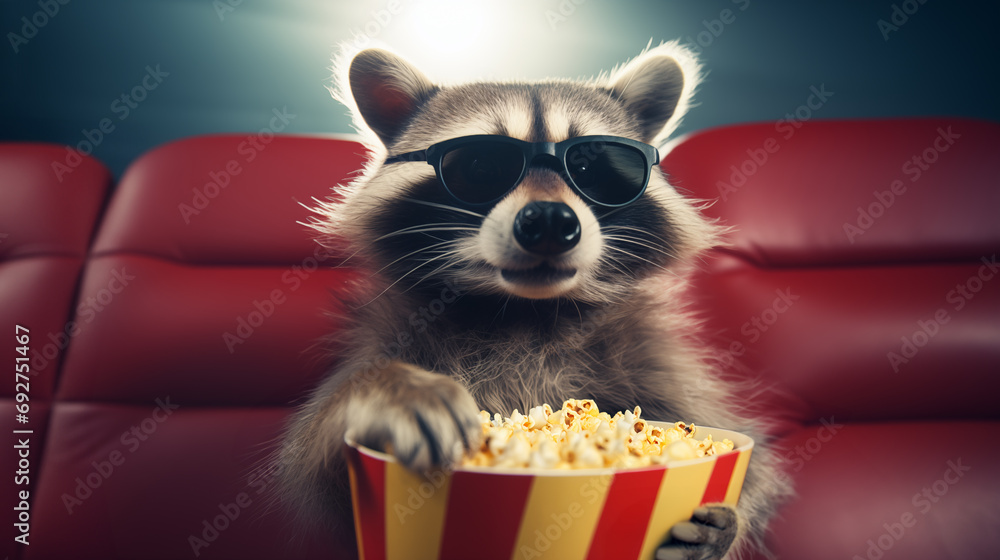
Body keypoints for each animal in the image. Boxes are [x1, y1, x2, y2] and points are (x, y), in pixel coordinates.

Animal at [278, 42, 792, 560]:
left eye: (590, 167)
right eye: (481, 166)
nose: (547, 221)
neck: (527, 309)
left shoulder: (655, 364)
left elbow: (747, 463)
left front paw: (727, 522)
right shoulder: (391, 336)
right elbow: (310, 480)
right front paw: (387, 390)